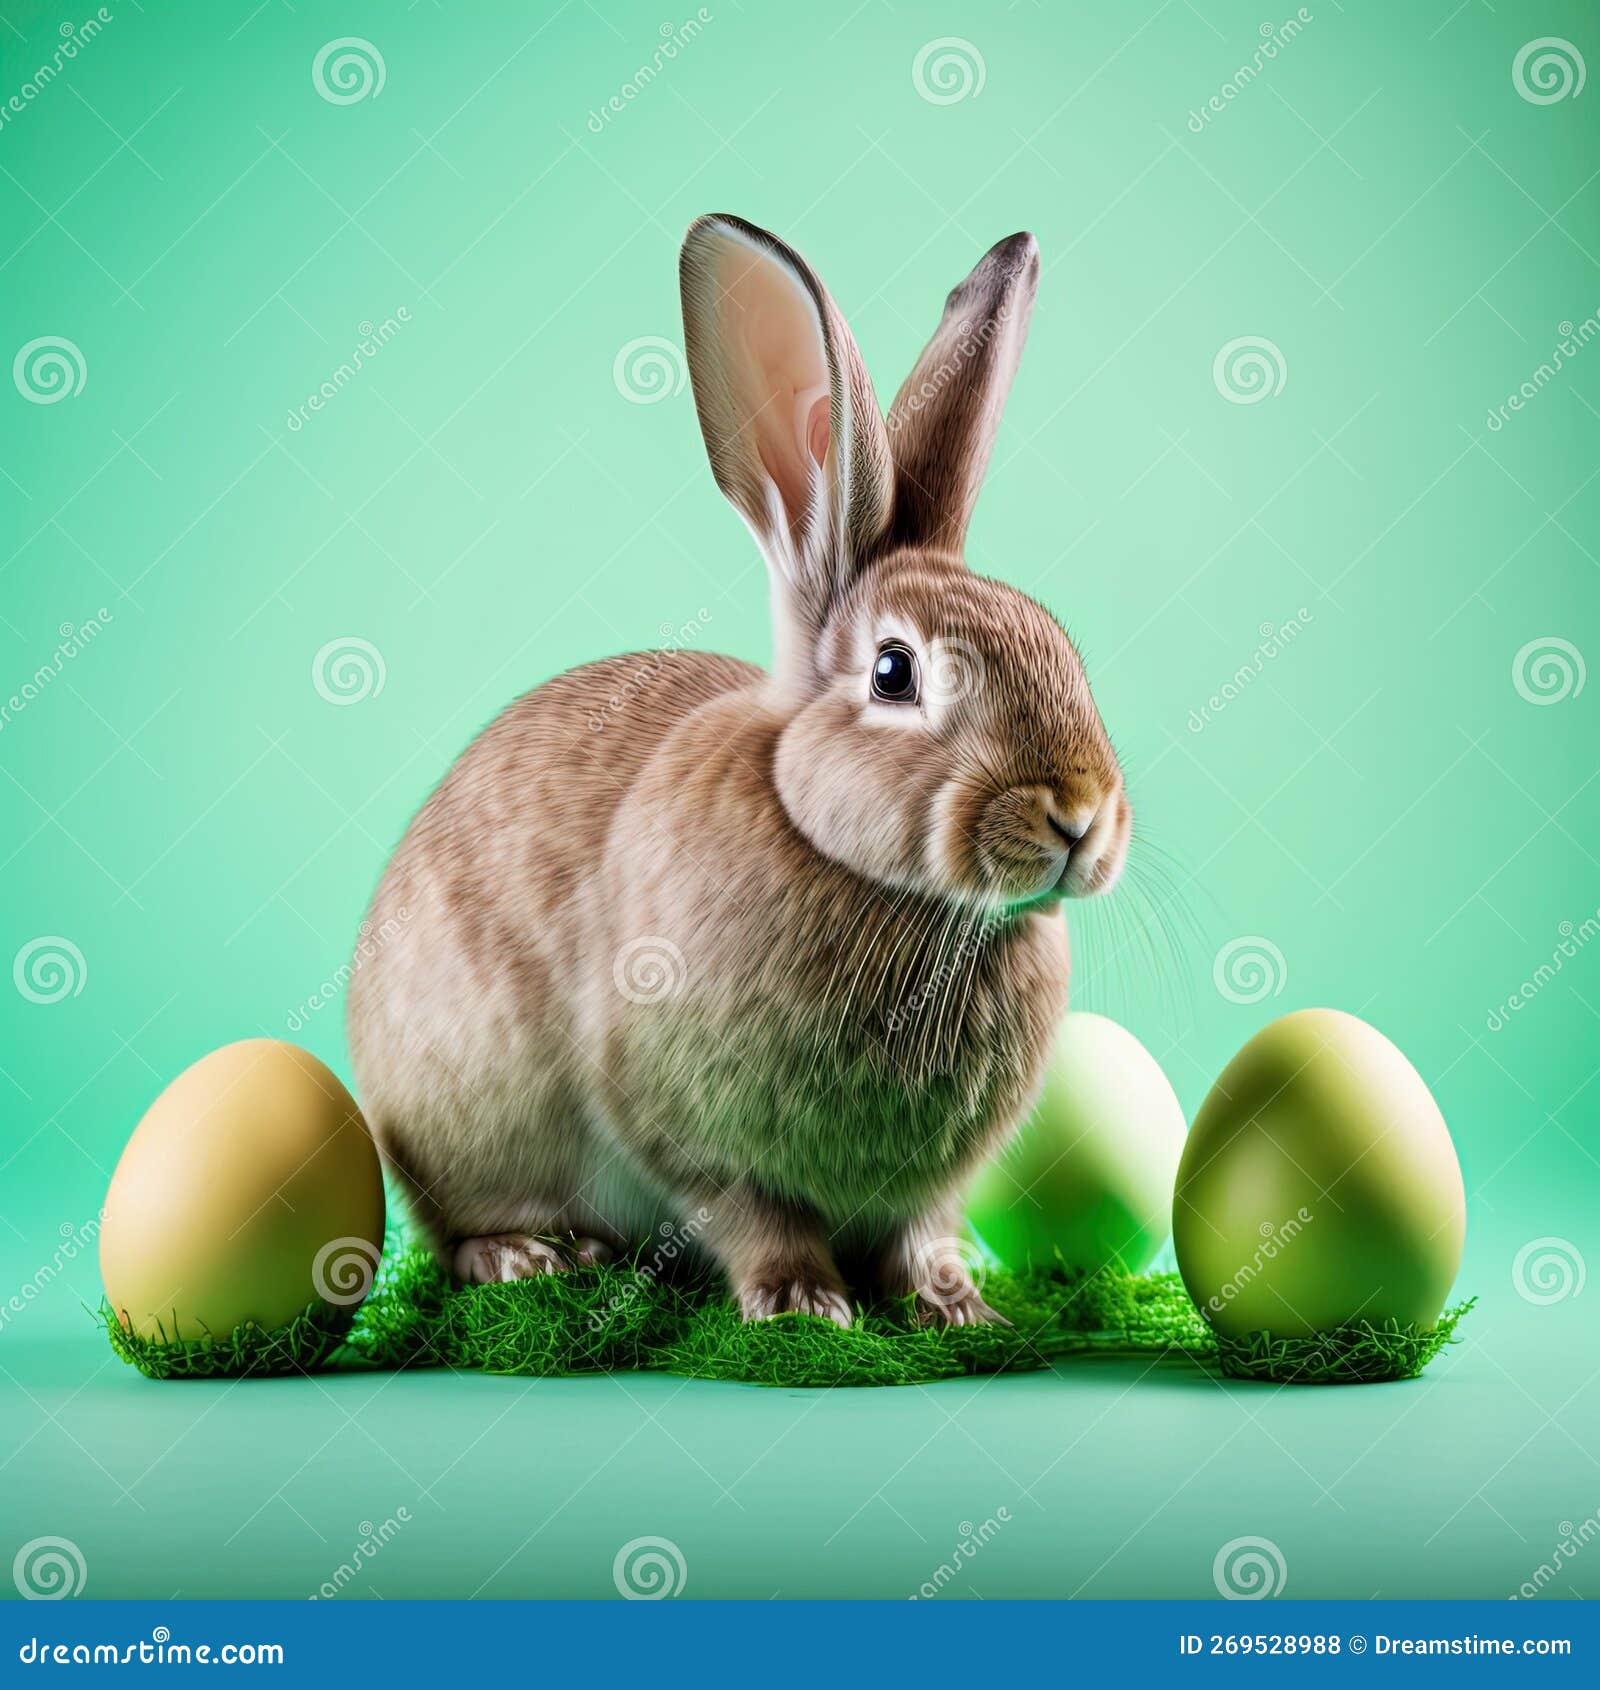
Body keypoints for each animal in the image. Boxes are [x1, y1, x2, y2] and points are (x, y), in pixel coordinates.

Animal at [346, 214, 1130, 1328]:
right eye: (894, 672)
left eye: (1061, 648)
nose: (1078, 815)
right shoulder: (682, 1127)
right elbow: (755, 1213)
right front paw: (804, 1305)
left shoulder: (924, 1189)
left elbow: (920, 1232)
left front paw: (953, 1308)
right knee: (454, 1234)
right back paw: (532, 1258)